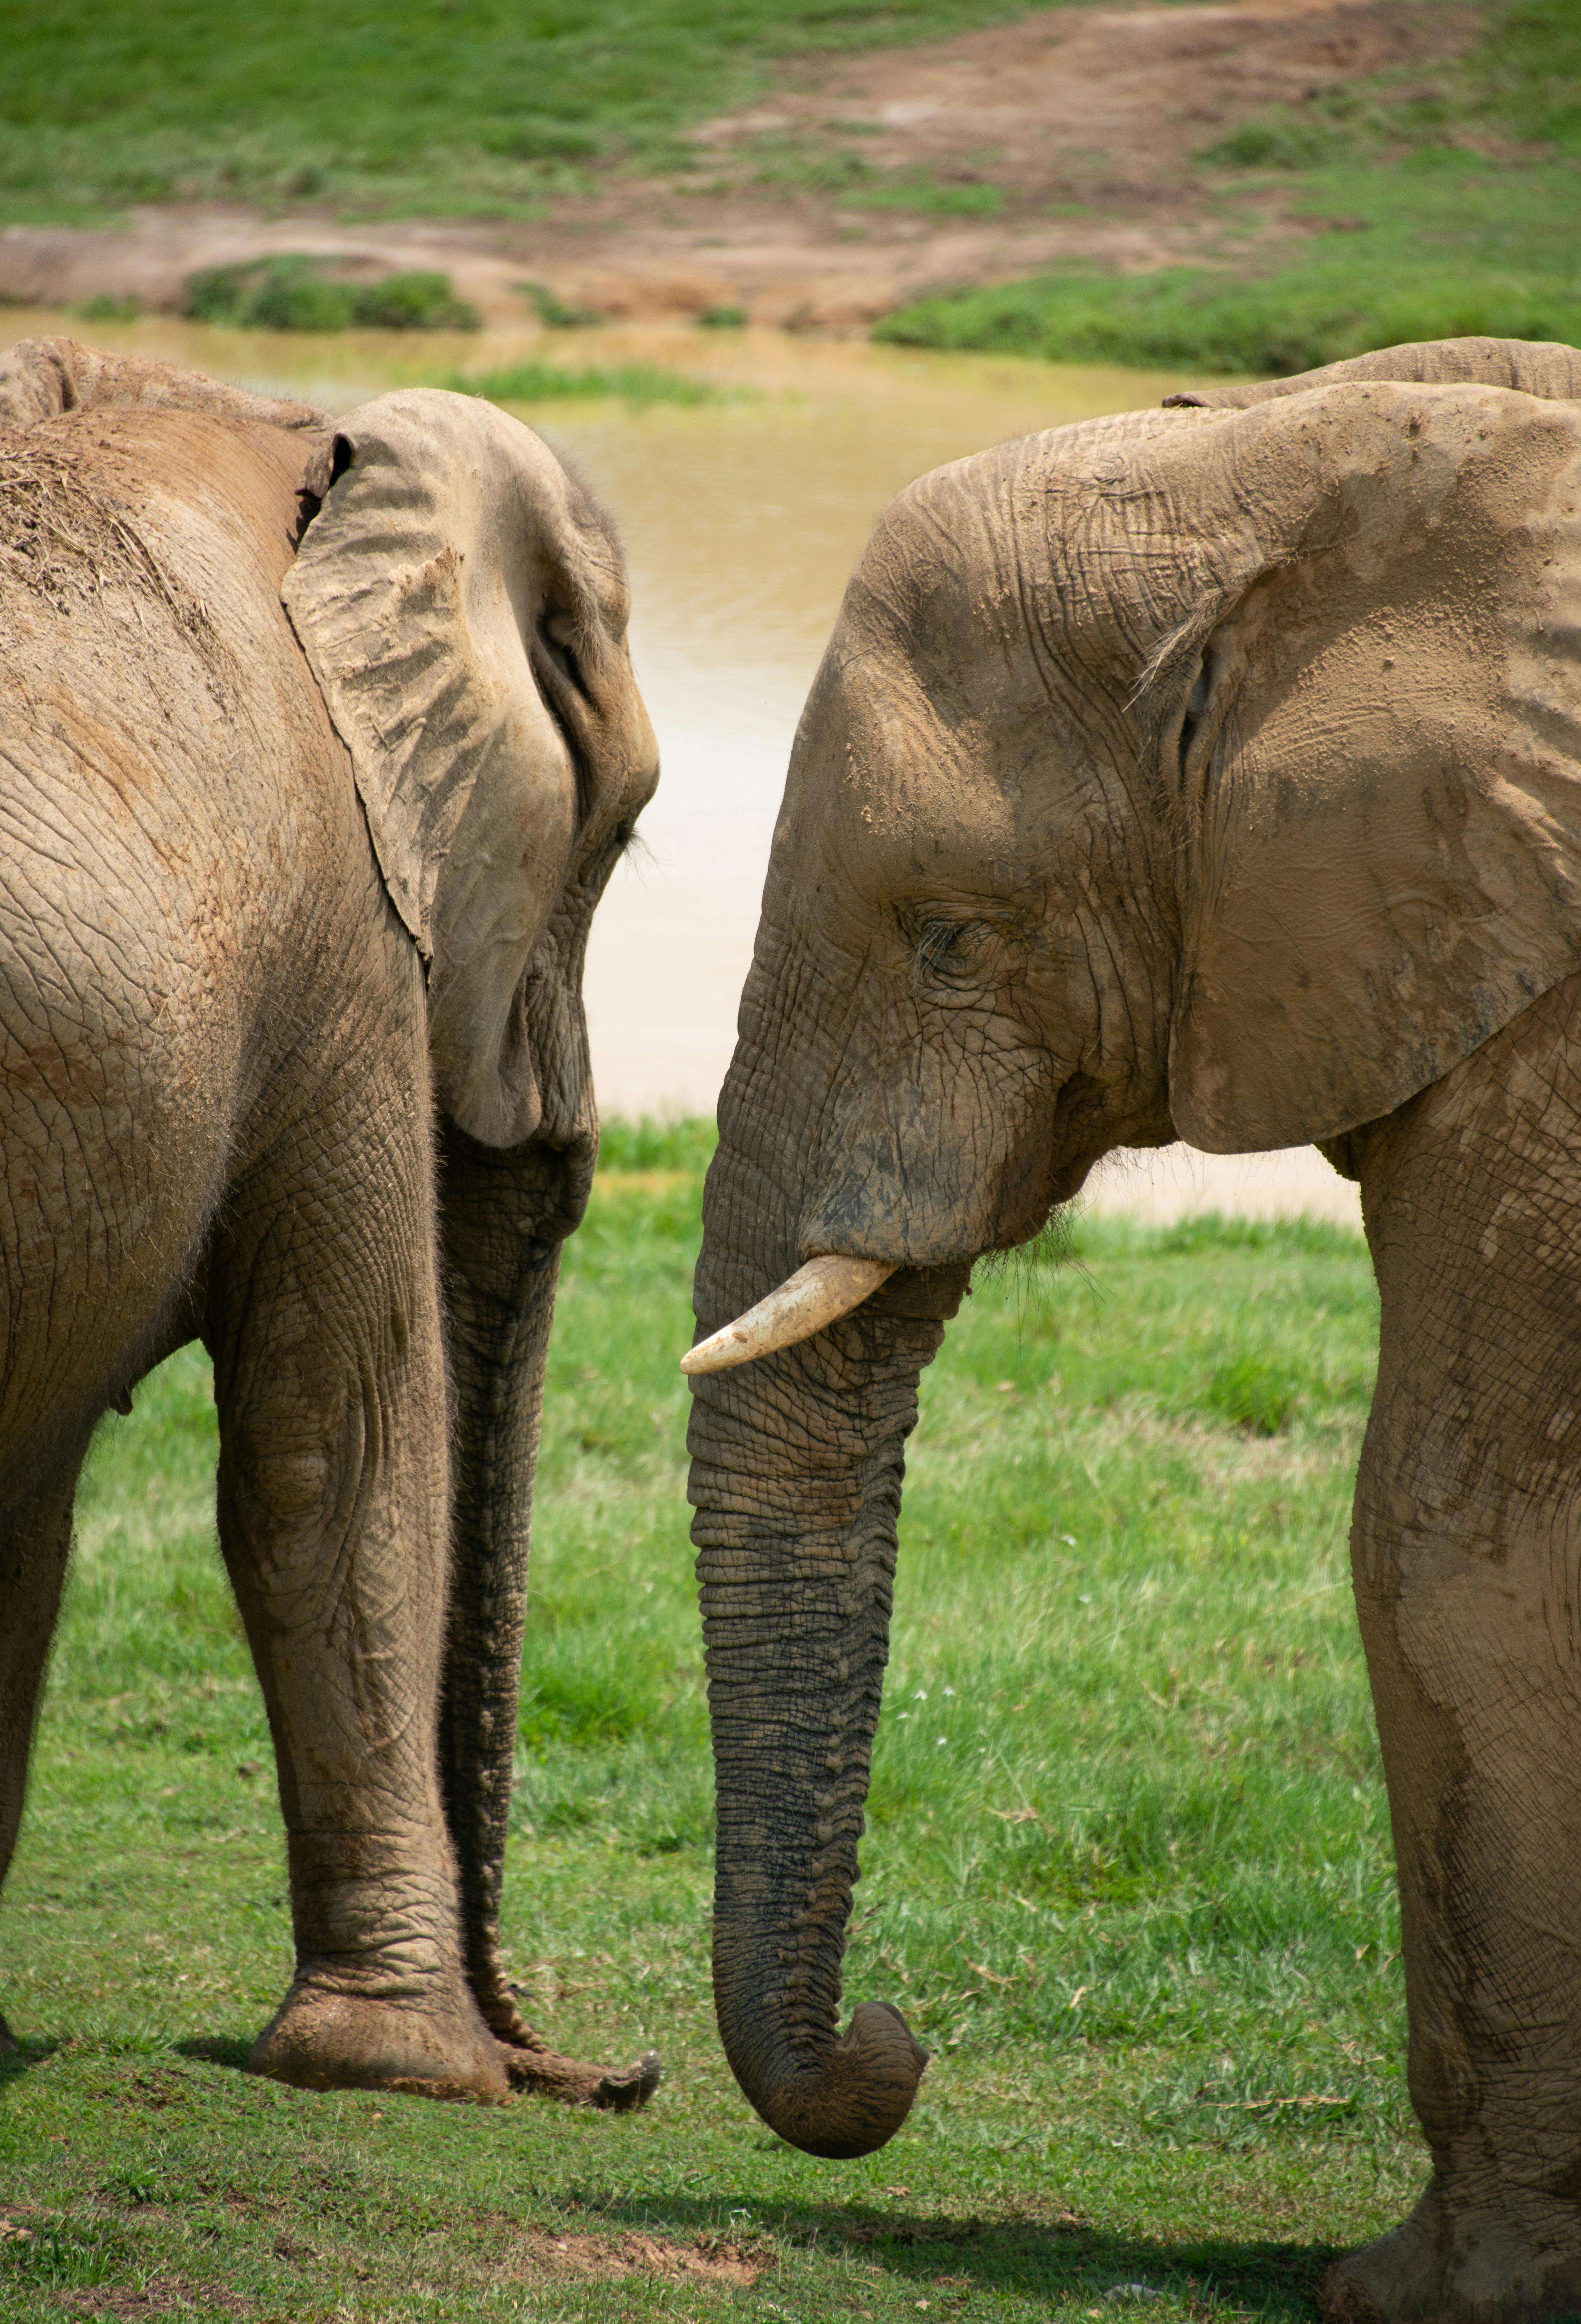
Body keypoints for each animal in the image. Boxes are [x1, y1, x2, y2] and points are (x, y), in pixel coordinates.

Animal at [0, 336, 662, 2109]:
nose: (618, 2077)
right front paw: (410, 2068)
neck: (302, 417)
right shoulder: (348, 922)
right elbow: (333, 1448)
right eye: (631, 826)